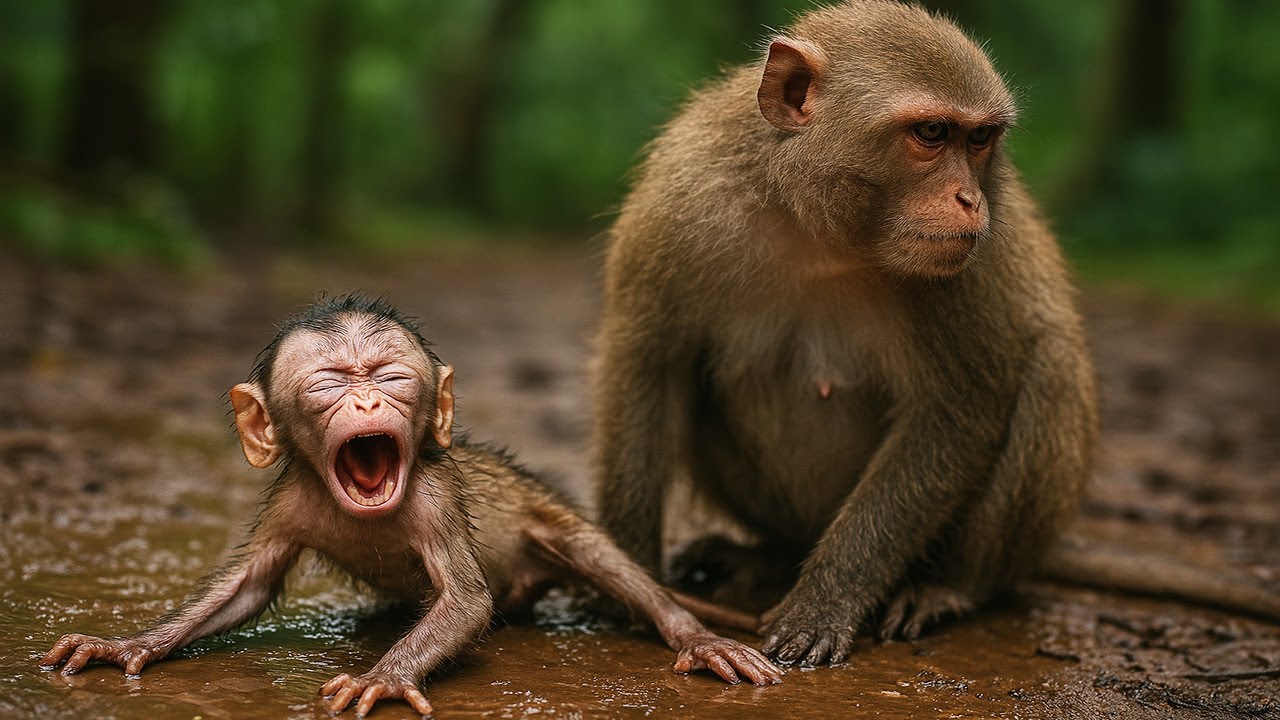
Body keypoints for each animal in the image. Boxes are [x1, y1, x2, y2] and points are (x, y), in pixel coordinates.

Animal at [41, 295, 782, 718]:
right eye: (328, 384)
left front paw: (385, 677)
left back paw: (692, 633)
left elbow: (466, 602)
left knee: (598, 558)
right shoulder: (289, 502)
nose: (369, 403)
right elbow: (246, 587)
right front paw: (128, 644)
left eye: (392, 377)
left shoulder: (432, 496)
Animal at [592, 0, 1279, 670]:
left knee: (1048, 371)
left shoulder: (971, 264)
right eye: (930, 133)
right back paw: (768, 554)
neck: (821, 235)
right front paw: (631, 577)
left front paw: (826, 601)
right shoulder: (682, 203)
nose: (970, 200)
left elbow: (959, 409)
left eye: (979, 138)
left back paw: (948, 586)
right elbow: (648, 363)